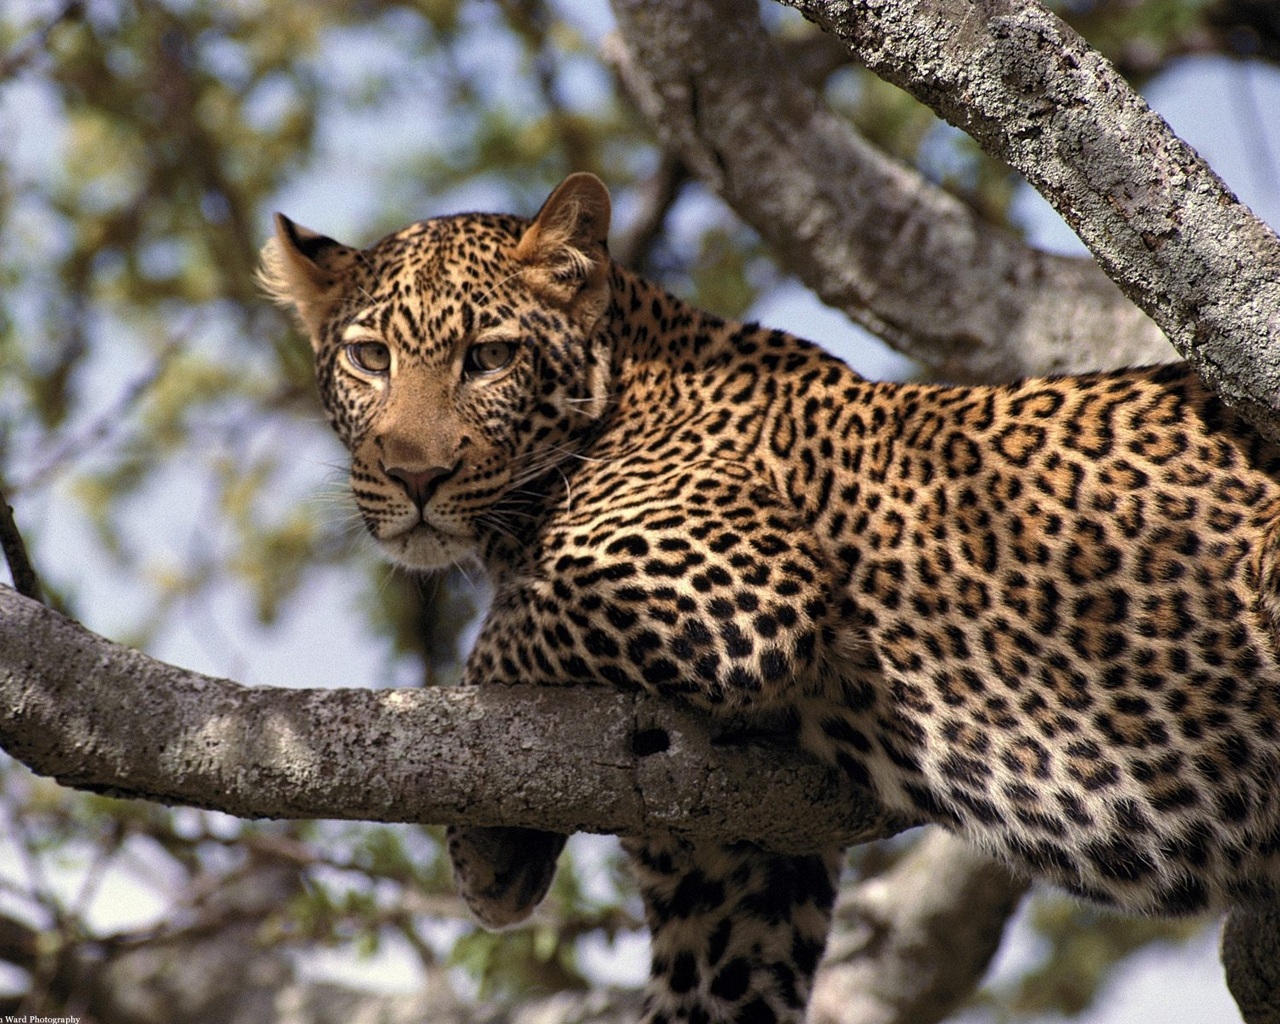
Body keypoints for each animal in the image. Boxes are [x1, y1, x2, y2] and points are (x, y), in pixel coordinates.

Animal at [260, 172, 1280, 1024]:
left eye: (489, 357)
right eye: (369, 357)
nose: (414, 475)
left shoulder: (740, 584)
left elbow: (509, 632)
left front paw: (484, 841)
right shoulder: (731, 866)